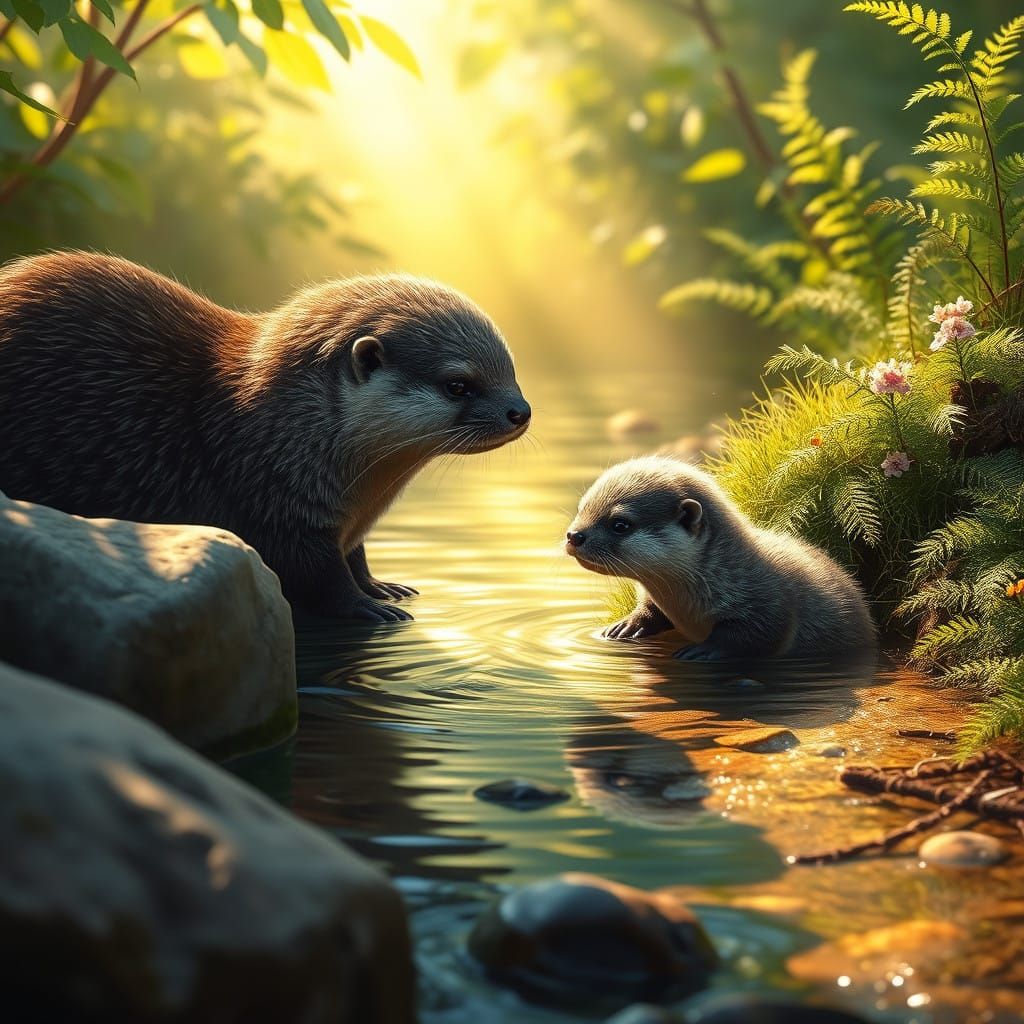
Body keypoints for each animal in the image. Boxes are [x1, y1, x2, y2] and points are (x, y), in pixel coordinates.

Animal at [0, 251, 530, 622]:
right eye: (458, 384)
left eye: (511, 369)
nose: (520, 412)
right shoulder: (276, 502)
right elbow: (316, 574)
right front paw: (367, 607)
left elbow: (353, 557)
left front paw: (380, 587)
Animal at [565, 456, 876, 662]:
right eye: (582, 508)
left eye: (620, 524)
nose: (574, 535)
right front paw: (629, 624)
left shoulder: (770, 603)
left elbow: (761, 633)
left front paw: (705, 648)